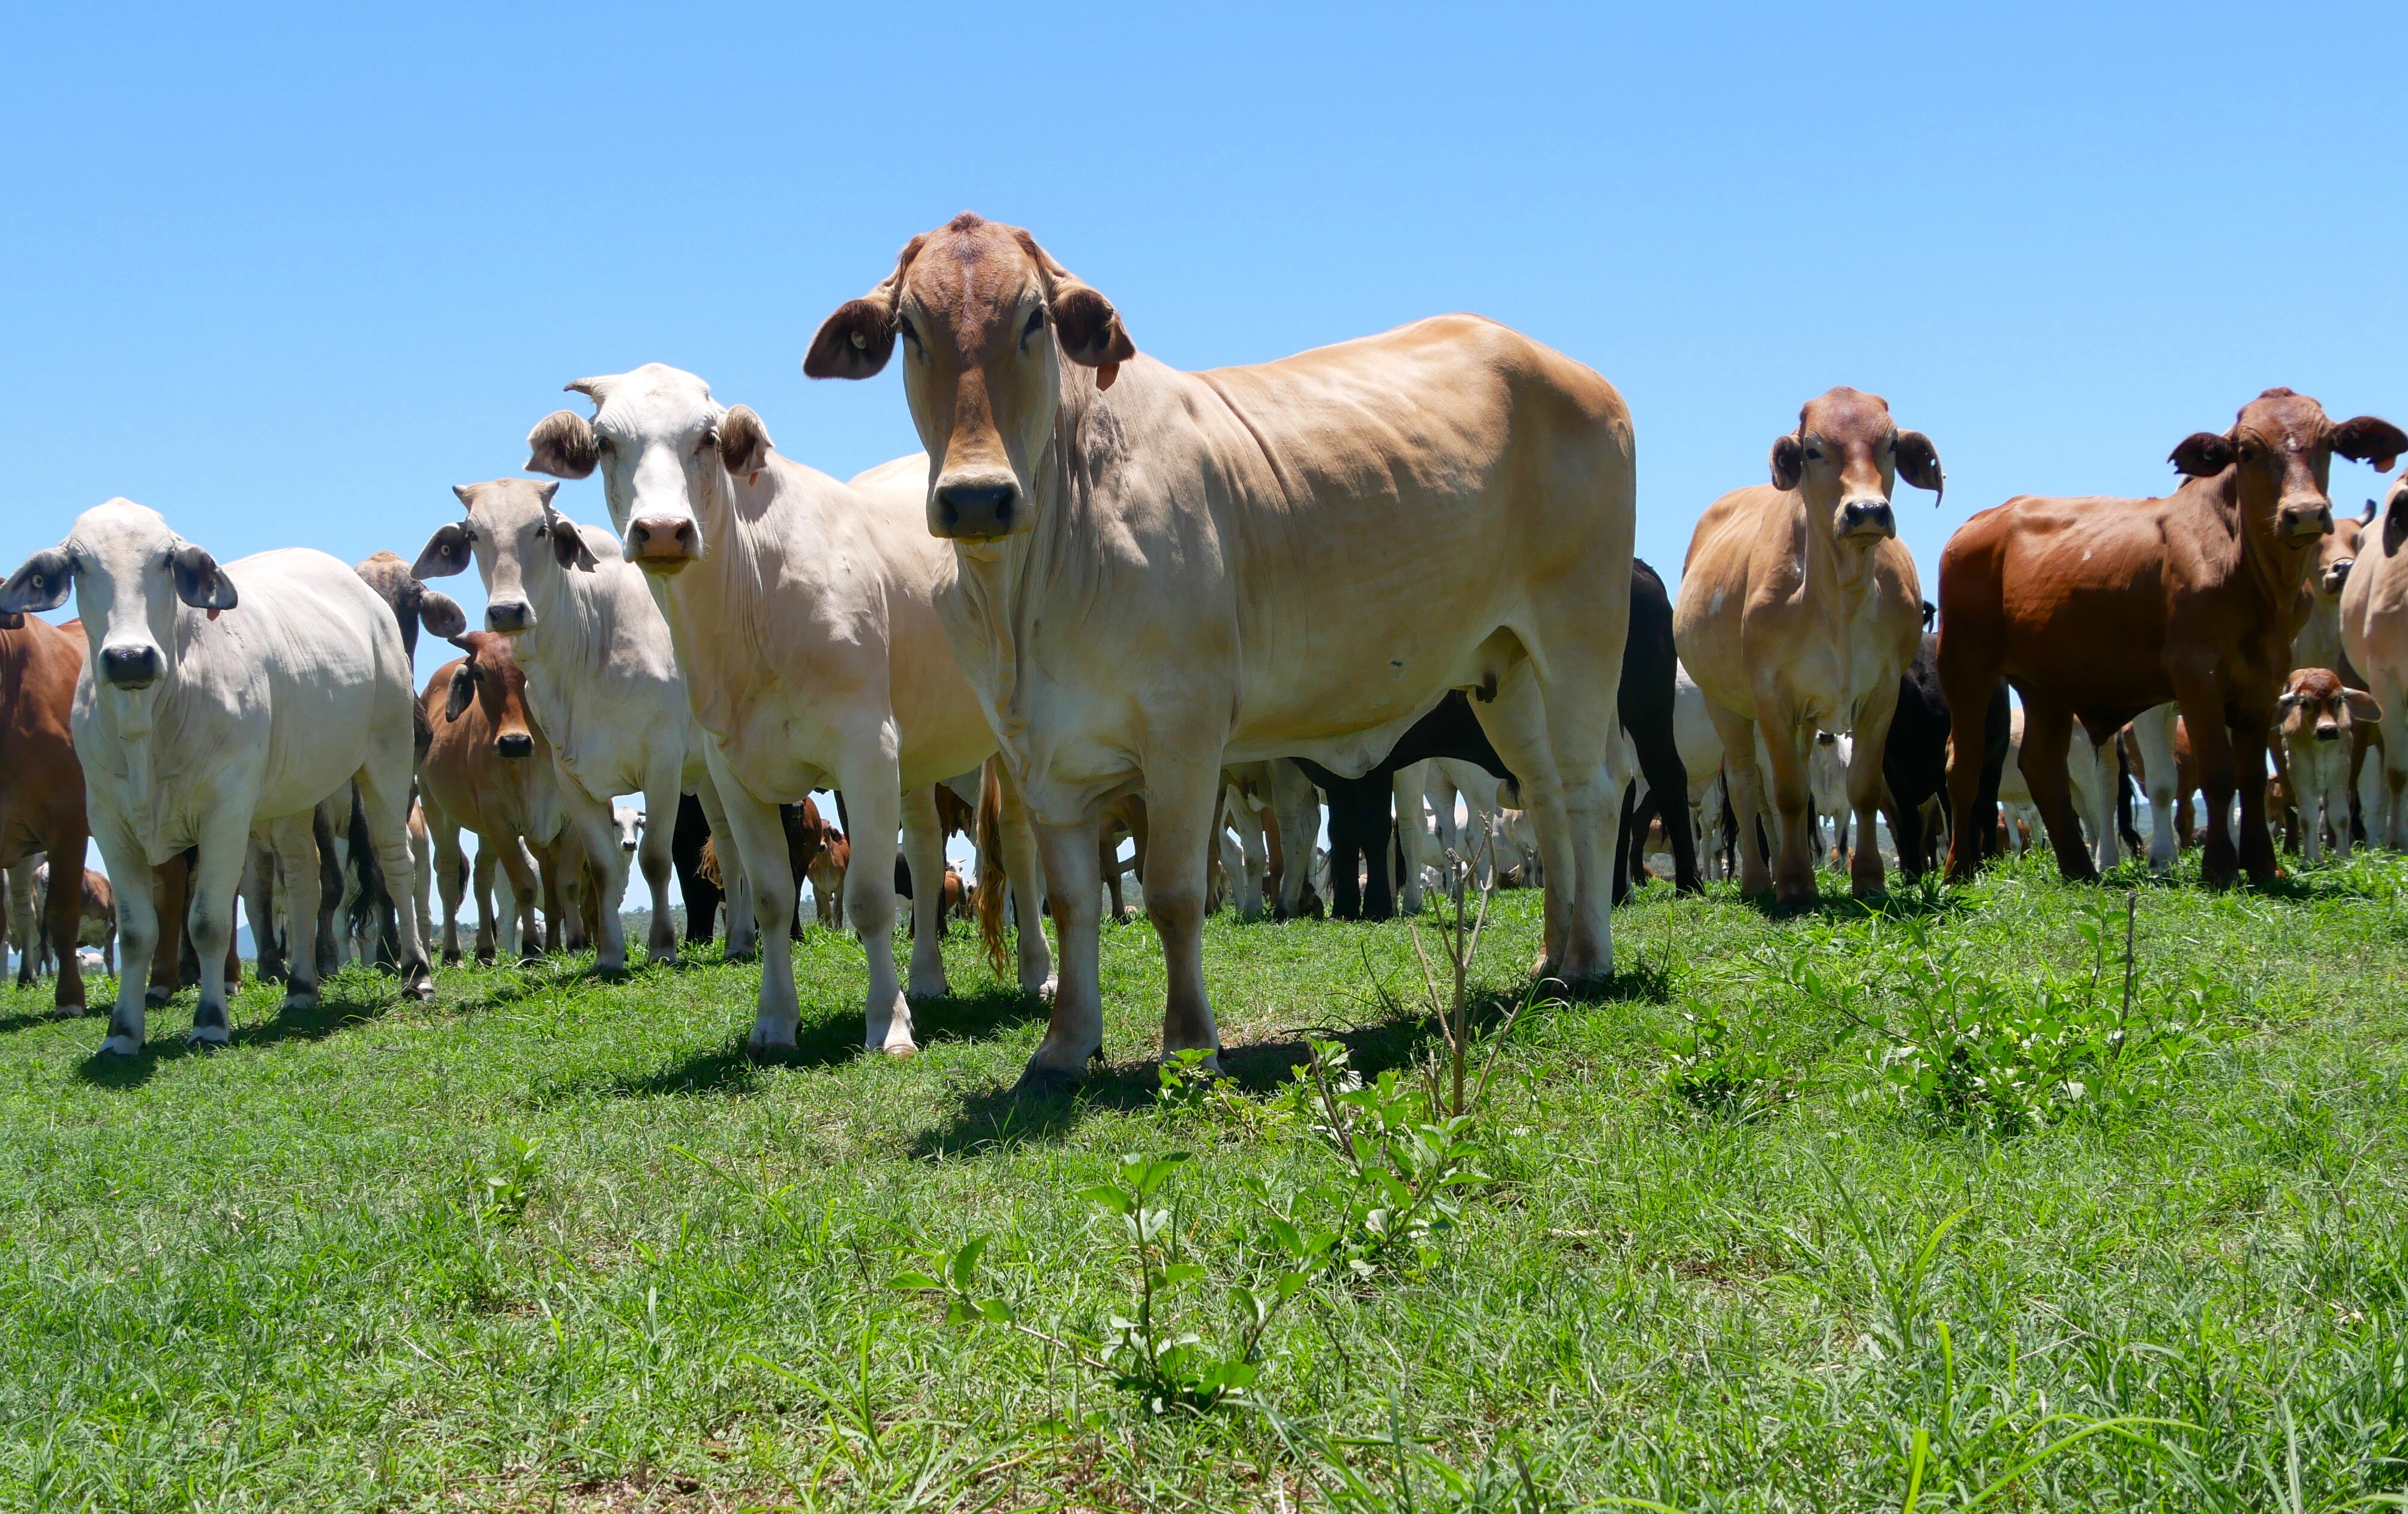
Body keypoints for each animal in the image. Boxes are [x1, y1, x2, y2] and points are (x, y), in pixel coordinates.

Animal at [1, 500, 432, 1054]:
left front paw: (209, 1021)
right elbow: (139, 930)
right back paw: (302, 986)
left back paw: (416, 973)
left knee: (396, 863)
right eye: (77, 564)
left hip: (388, 755)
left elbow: (207, 921)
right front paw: (122, 1031)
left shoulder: (225, 815)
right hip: (295, 798)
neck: (149, 723)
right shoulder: (108, 821)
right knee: (305, 880)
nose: (129, 658)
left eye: (167, 559)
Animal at [520, 364, 1055, 1055]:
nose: (663, 529)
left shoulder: (865, 752)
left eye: (708, 438)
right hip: (917, 754)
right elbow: (773, 897)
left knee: (1016, 845)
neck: (753, 607)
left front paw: (888, 1024)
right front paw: (774, 1023)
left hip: (1004, 738)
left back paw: (1039, 973)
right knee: (927, 852)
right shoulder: (734, 772)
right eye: (607, 442)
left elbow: (871, 899)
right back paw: (928, 978)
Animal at [809, 213, 1634, 1087]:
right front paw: (1064, 1046)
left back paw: (1591, 960)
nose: (975, 498)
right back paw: (1552, 954)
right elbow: (1071, 905)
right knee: (1545, 792)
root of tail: (1562, 366)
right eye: (909, 328)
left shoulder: (1184, 735)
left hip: (1580, 624)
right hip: (1505, 665)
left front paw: (1187, 1043)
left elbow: (1174, 893)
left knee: (1591, 784)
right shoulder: (1044, 757)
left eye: (1034, 318)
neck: (1022, 600)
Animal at [1674, 387, 1941, 908]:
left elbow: (1863, 789)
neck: (1842, 596)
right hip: (1727, 707)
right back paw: (1762, 879)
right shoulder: (1772, 695)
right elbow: (1791, 794)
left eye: (1892, 444)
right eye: (1813, 450)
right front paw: (1795, 883)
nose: (1867, 511)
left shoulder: (1881, 695)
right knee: (1748, 788)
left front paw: (1869, 879)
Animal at [2275, 668, 2379, 863]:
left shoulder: (2340, 769)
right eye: (2304, 703)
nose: (2328, 730)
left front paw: (2344, 854)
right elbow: (2308, 818)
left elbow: (2340, 815)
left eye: (2339, 700)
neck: (2320, 748)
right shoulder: (2299, 771)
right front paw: (2311, 858)